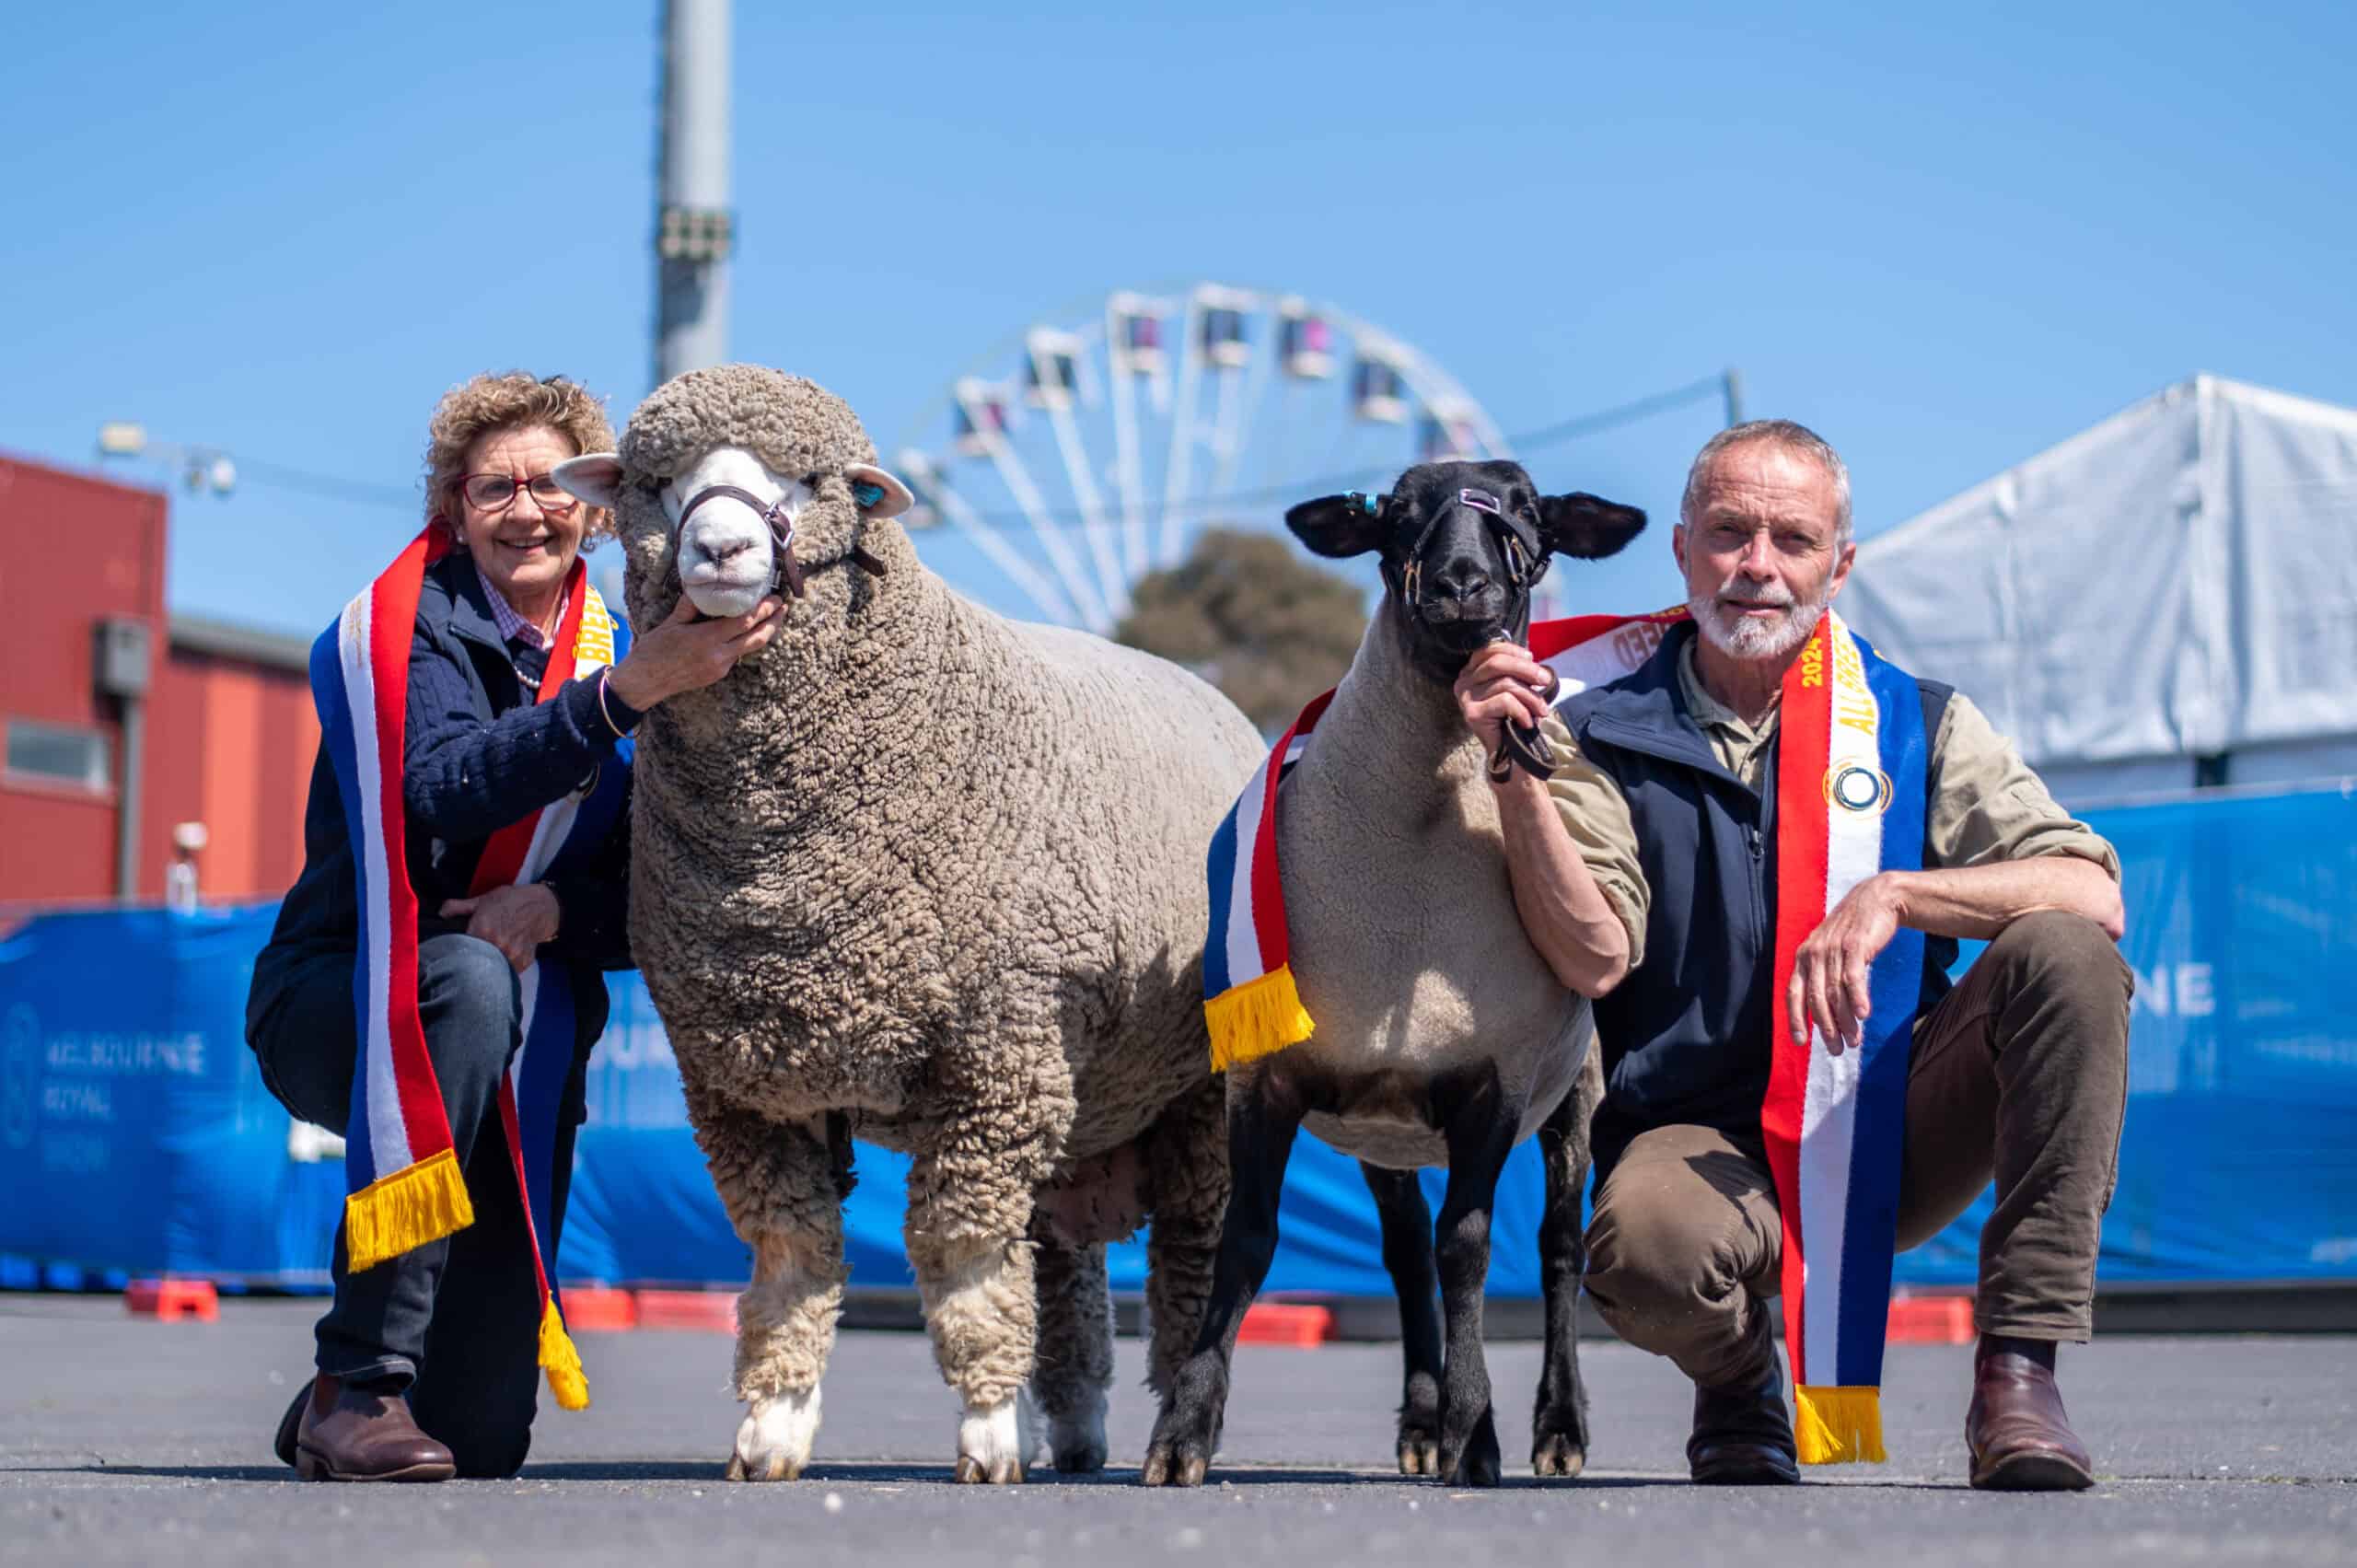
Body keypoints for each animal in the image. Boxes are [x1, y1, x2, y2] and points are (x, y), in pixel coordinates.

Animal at [551, 365, 1264, 1485]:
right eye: (656, 482)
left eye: (814, 479)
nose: (719, 550)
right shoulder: (742, 1076)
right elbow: (794, 1252)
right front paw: (774, 1424)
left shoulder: (993, 1047)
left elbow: (961, 1246)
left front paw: (984, 1433)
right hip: (1073, 1093)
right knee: (1062, 1261)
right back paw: (1072, 1424)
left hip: (1186, 1088)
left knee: (1188, 1254)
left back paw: (1165, 1427)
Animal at [1143, 460, 1646, 1489]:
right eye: (1398, 514)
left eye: (1528, 510)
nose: (1461, 582)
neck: (1407, 865)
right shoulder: (1266, 1076)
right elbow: (1248, 1243)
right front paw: (1183, 1434)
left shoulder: (1495, 1083)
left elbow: (1472, 1248)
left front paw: (1475, 1430)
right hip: (1383, 1123)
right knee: (1406, 1248)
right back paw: (1419, 1423)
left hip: (1572, 1092)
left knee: (1556, 1247)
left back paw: (1554, 1428)